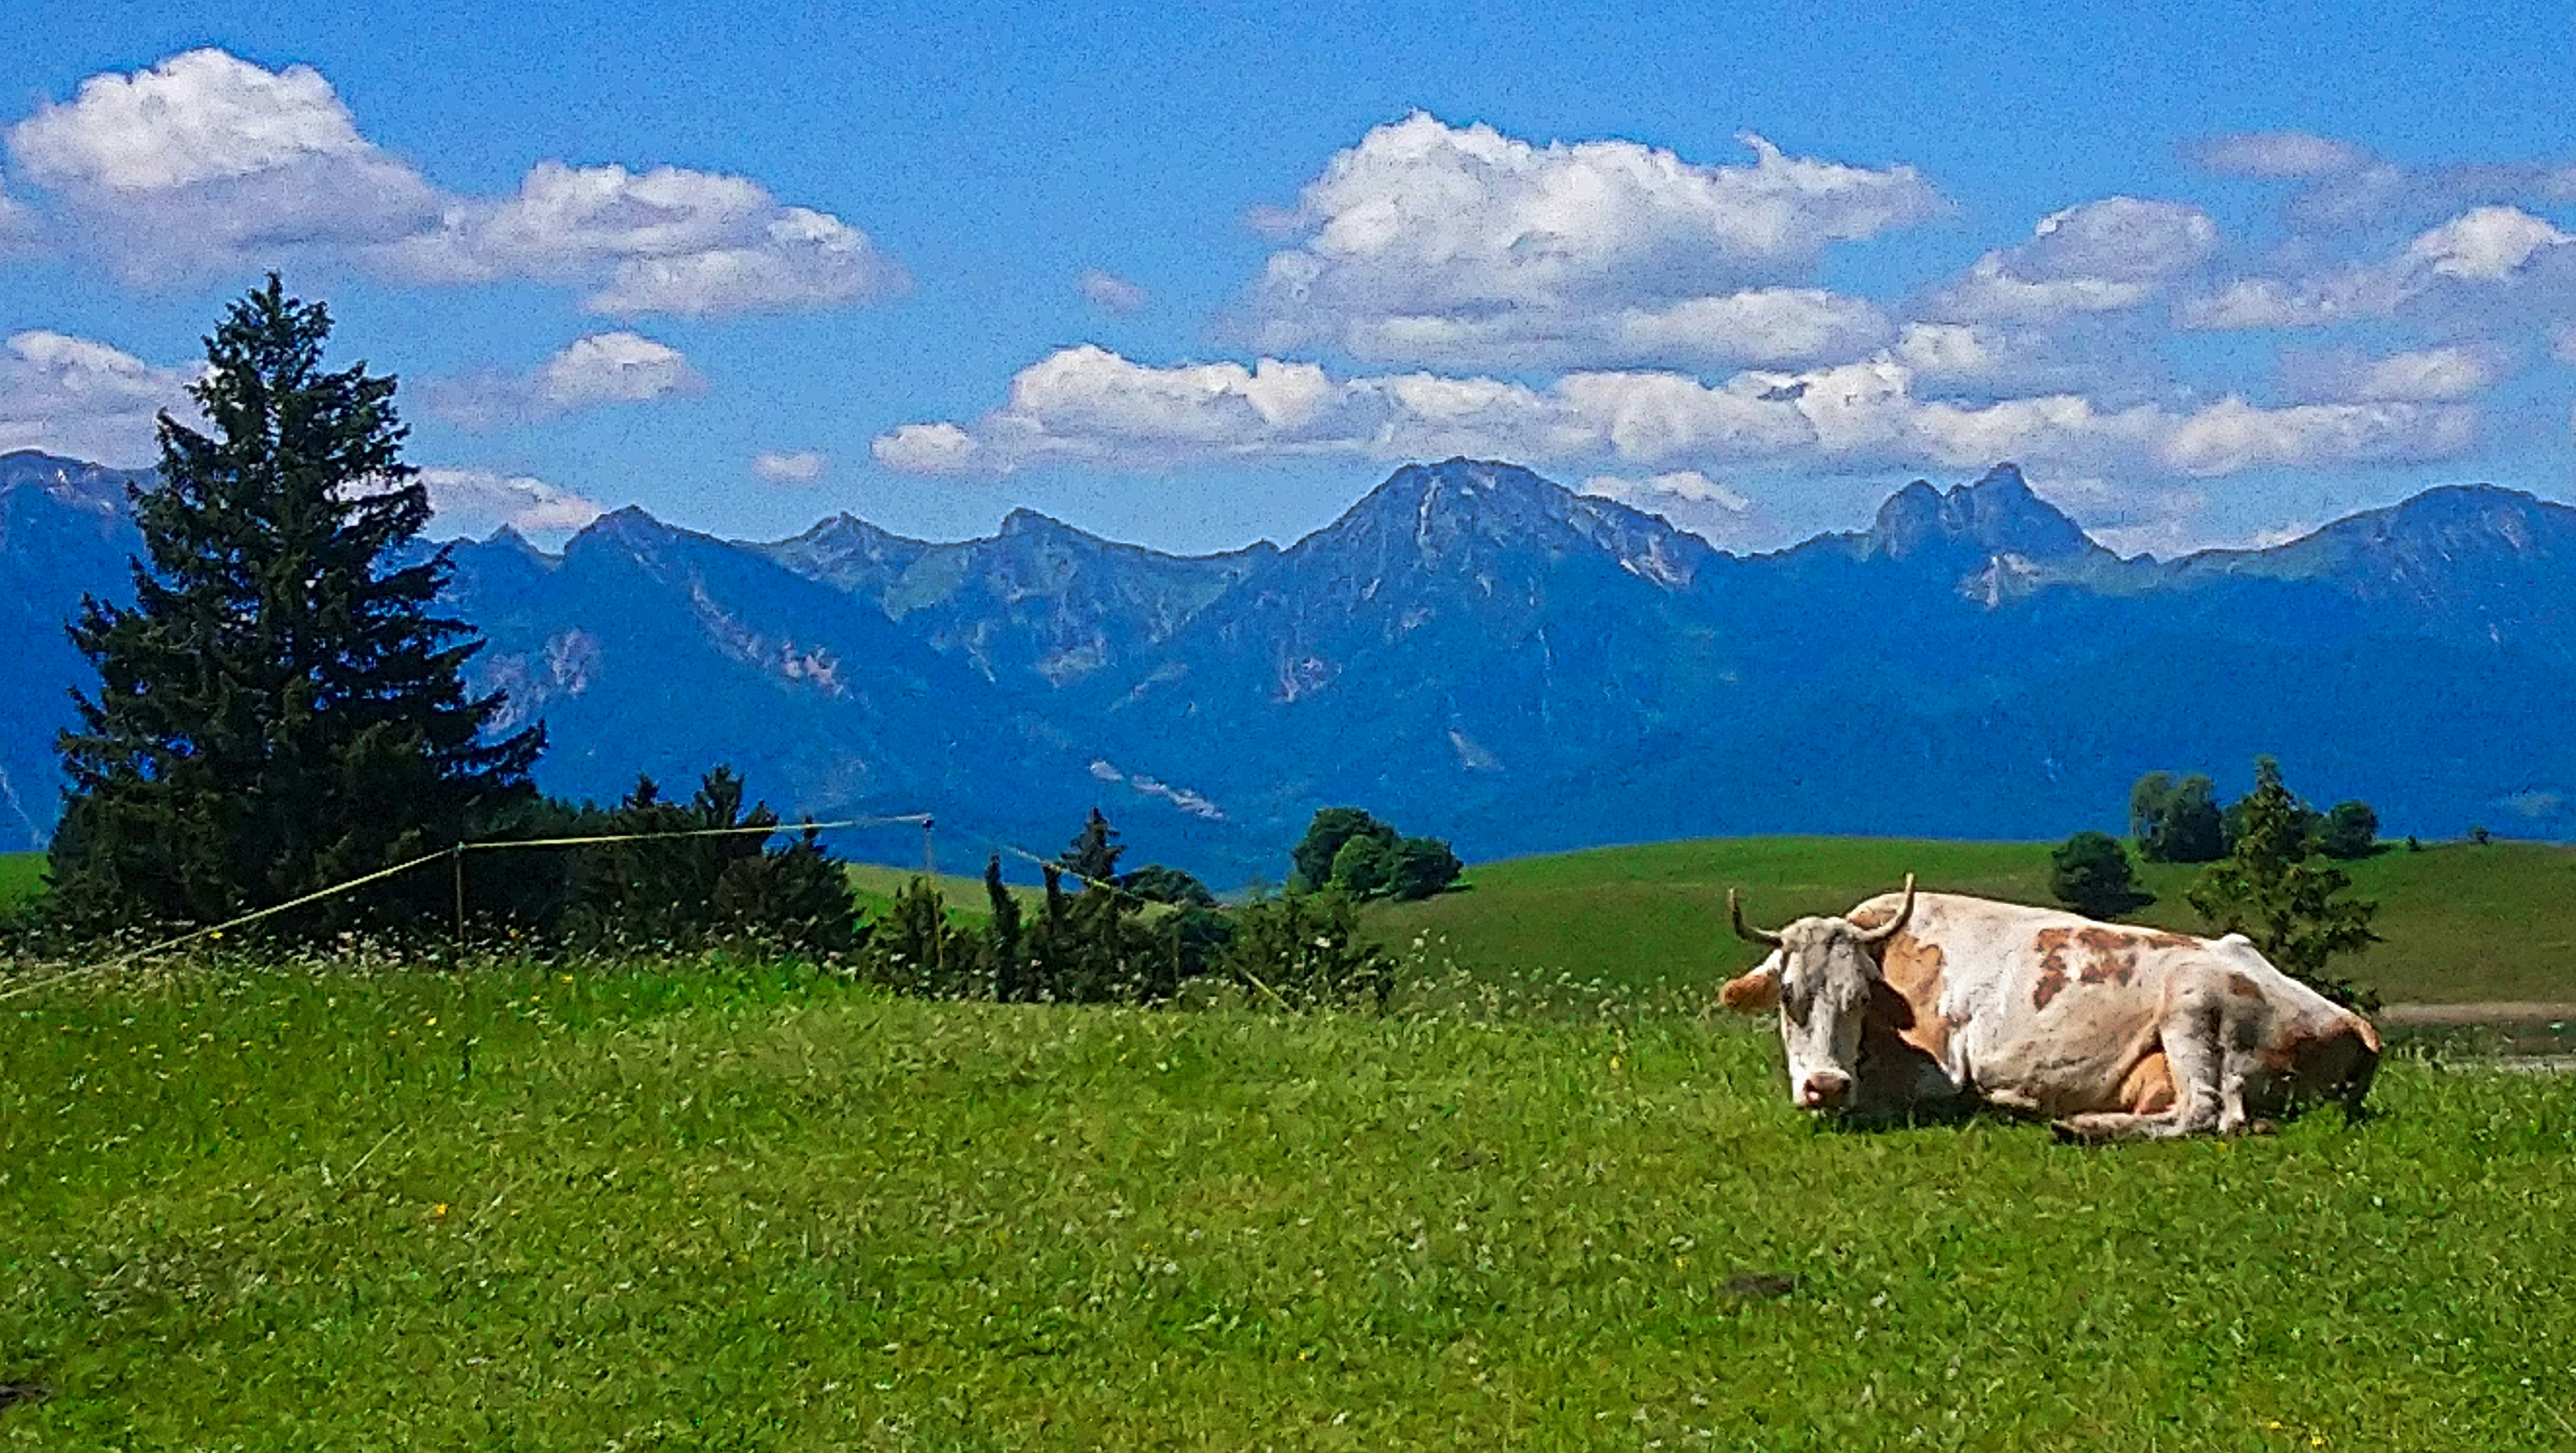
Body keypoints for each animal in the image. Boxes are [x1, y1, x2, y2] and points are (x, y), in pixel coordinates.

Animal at [1719, 875, 2380, 1139]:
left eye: (1858, 998)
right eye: (1788, 996)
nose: (1826, 1085)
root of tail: (2352, 1019)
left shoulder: (1943, 1074)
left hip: (2191, 998)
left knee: (2208, 1112)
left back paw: (2079, 1127)